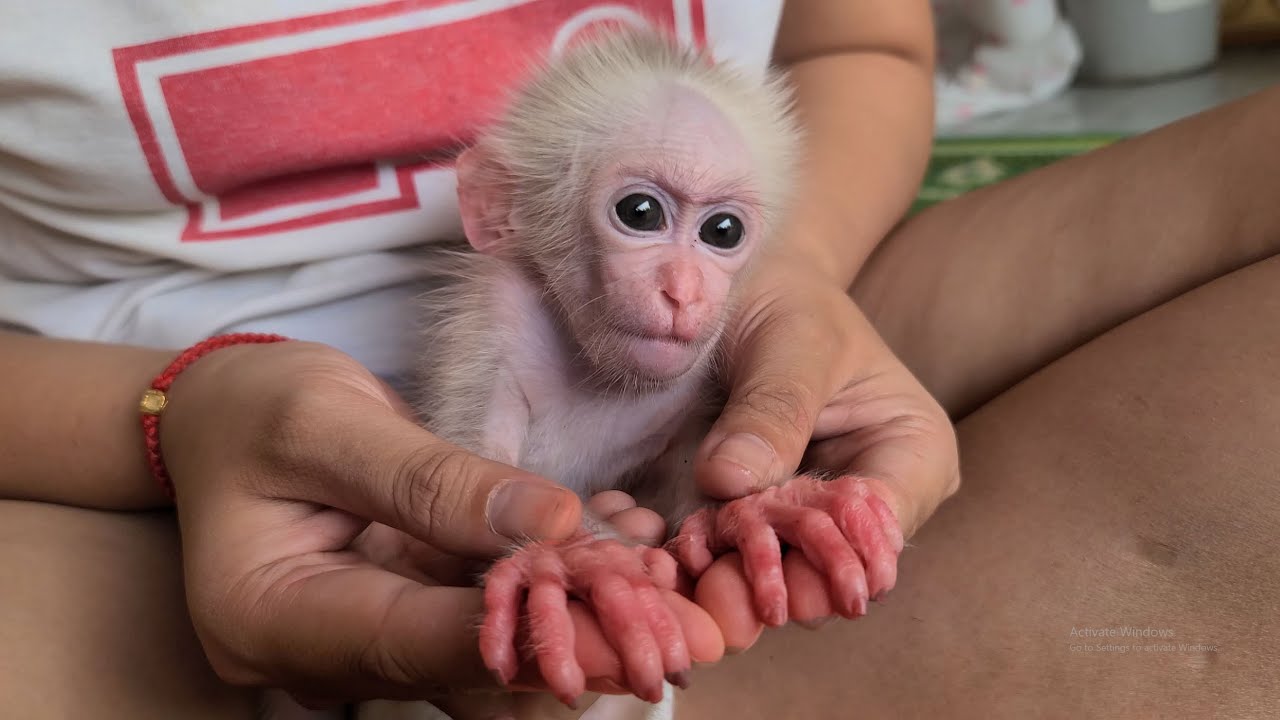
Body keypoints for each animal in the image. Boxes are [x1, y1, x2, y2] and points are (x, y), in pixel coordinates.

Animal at [400, 26, 907, 715]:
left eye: (723, 231)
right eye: (640, 213)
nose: (684, 292)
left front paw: (742, 515)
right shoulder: (494, 316)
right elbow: (486, 453)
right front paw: (569, 561)